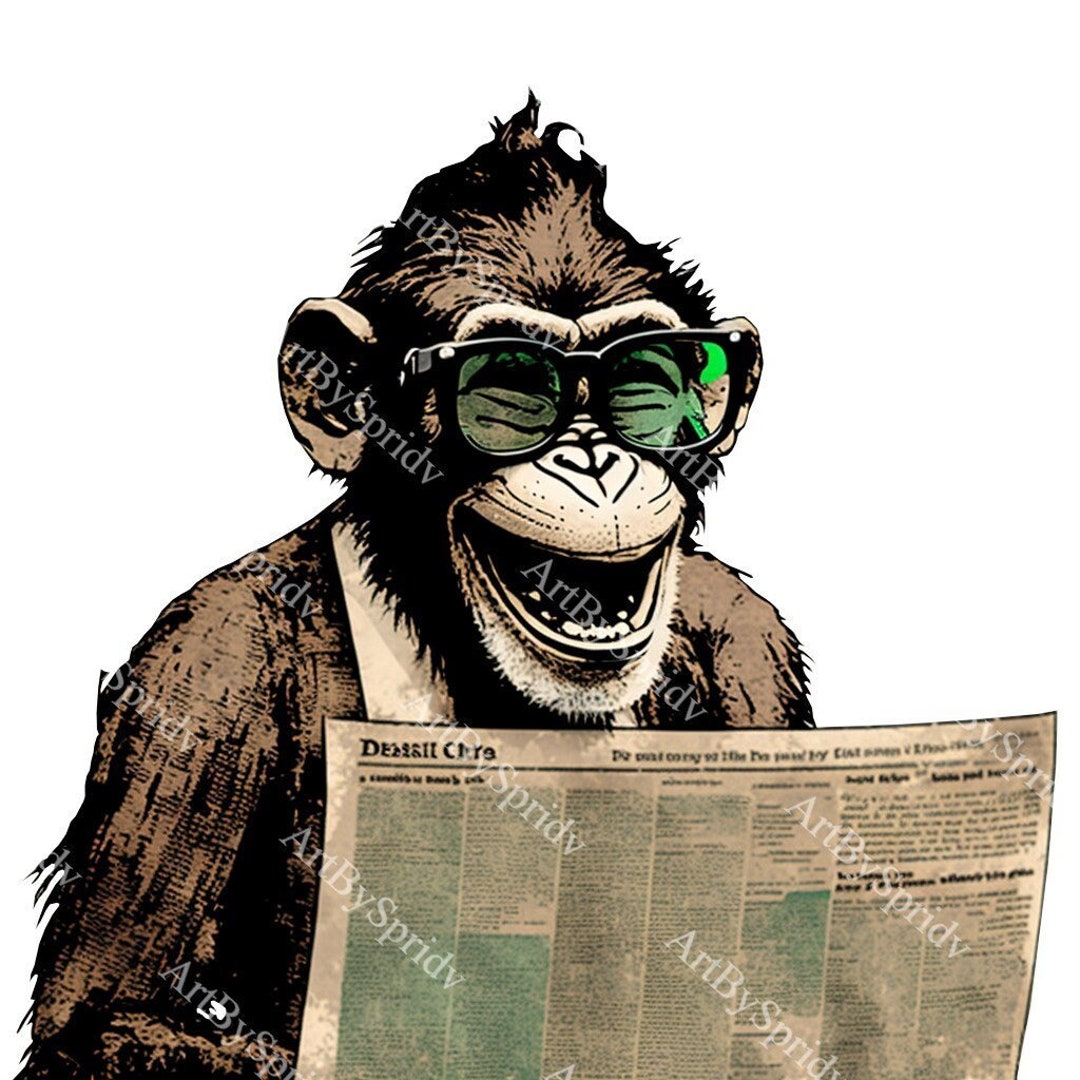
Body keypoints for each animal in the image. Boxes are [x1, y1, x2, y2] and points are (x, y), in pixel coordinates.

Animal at [18, 95, 811, 1079]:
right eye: (508, 386)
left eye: (648, 380)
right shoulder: (200, 677)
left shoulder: (753, 644)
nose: (596, 461)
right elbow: (100, 1014)